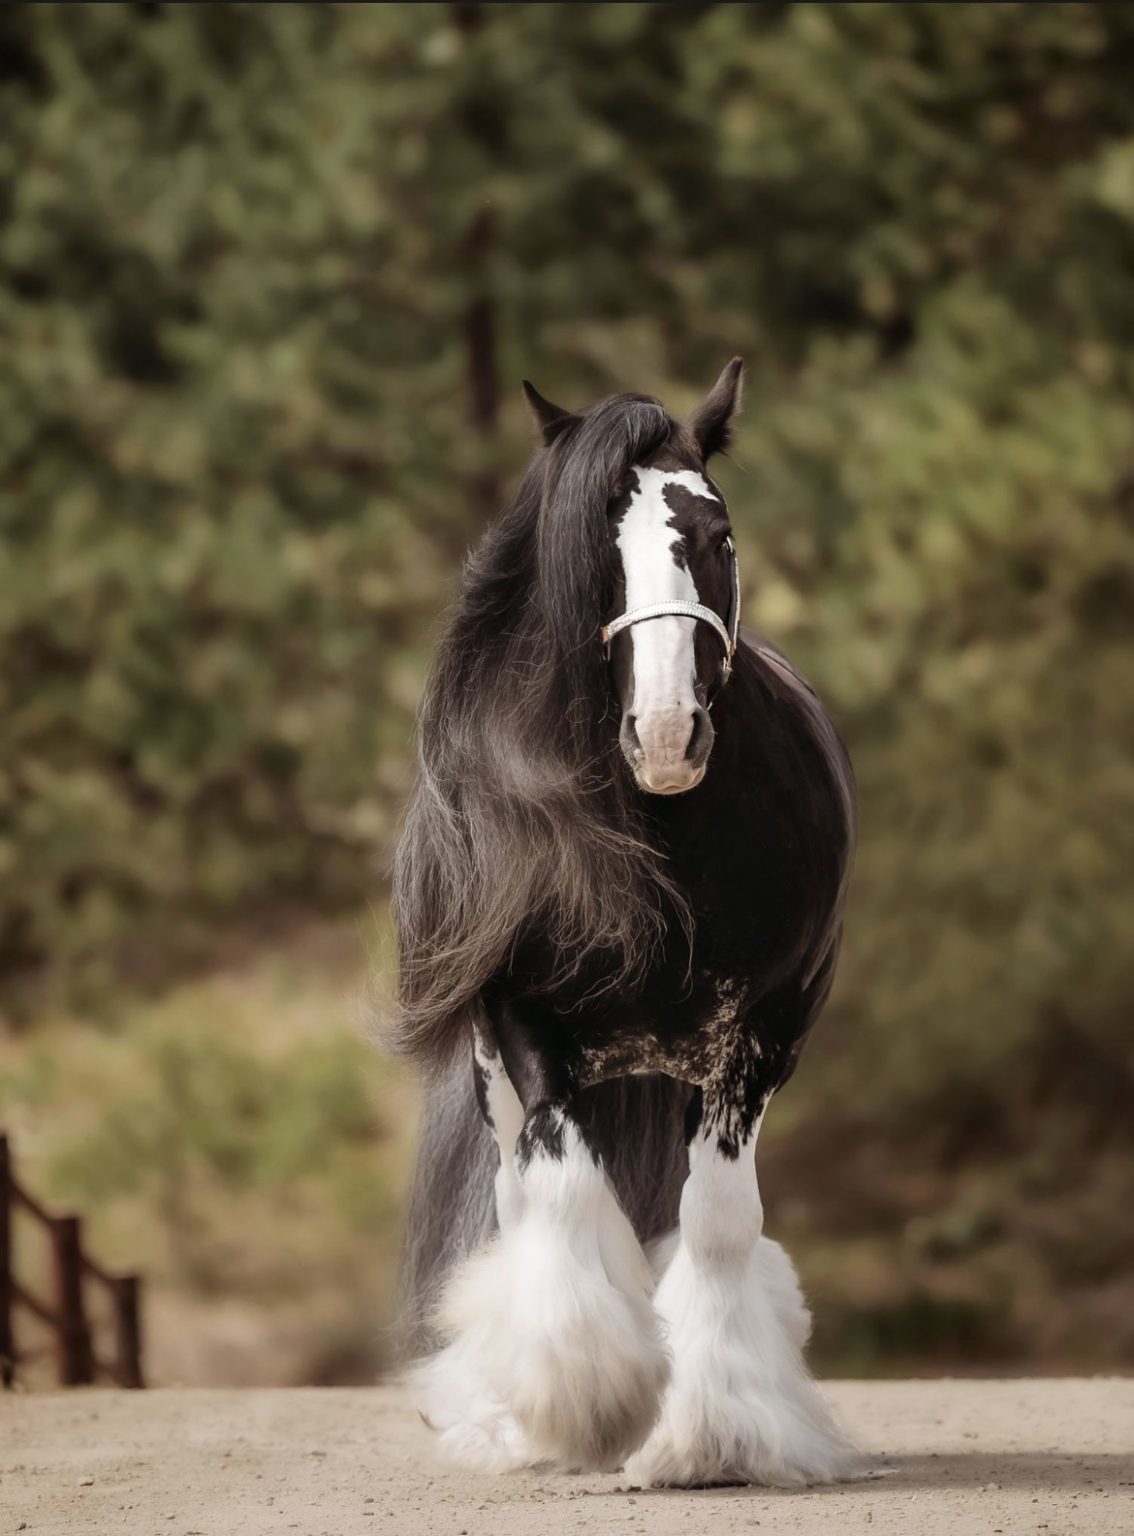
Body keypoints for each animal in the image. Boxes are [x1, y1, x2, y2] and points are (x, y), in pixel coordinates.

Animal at [391, 360, 860, 1487]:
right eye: (597, 551)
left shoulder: (757, 1037)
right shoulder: (519, 1020)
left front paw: (714, 1433)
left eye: (717, 533)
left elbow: (719, 1221)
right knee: (528, 1201)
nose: (666, 732)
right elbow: (562, 1192)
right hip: (509, 1076)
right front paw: (591, 1402)